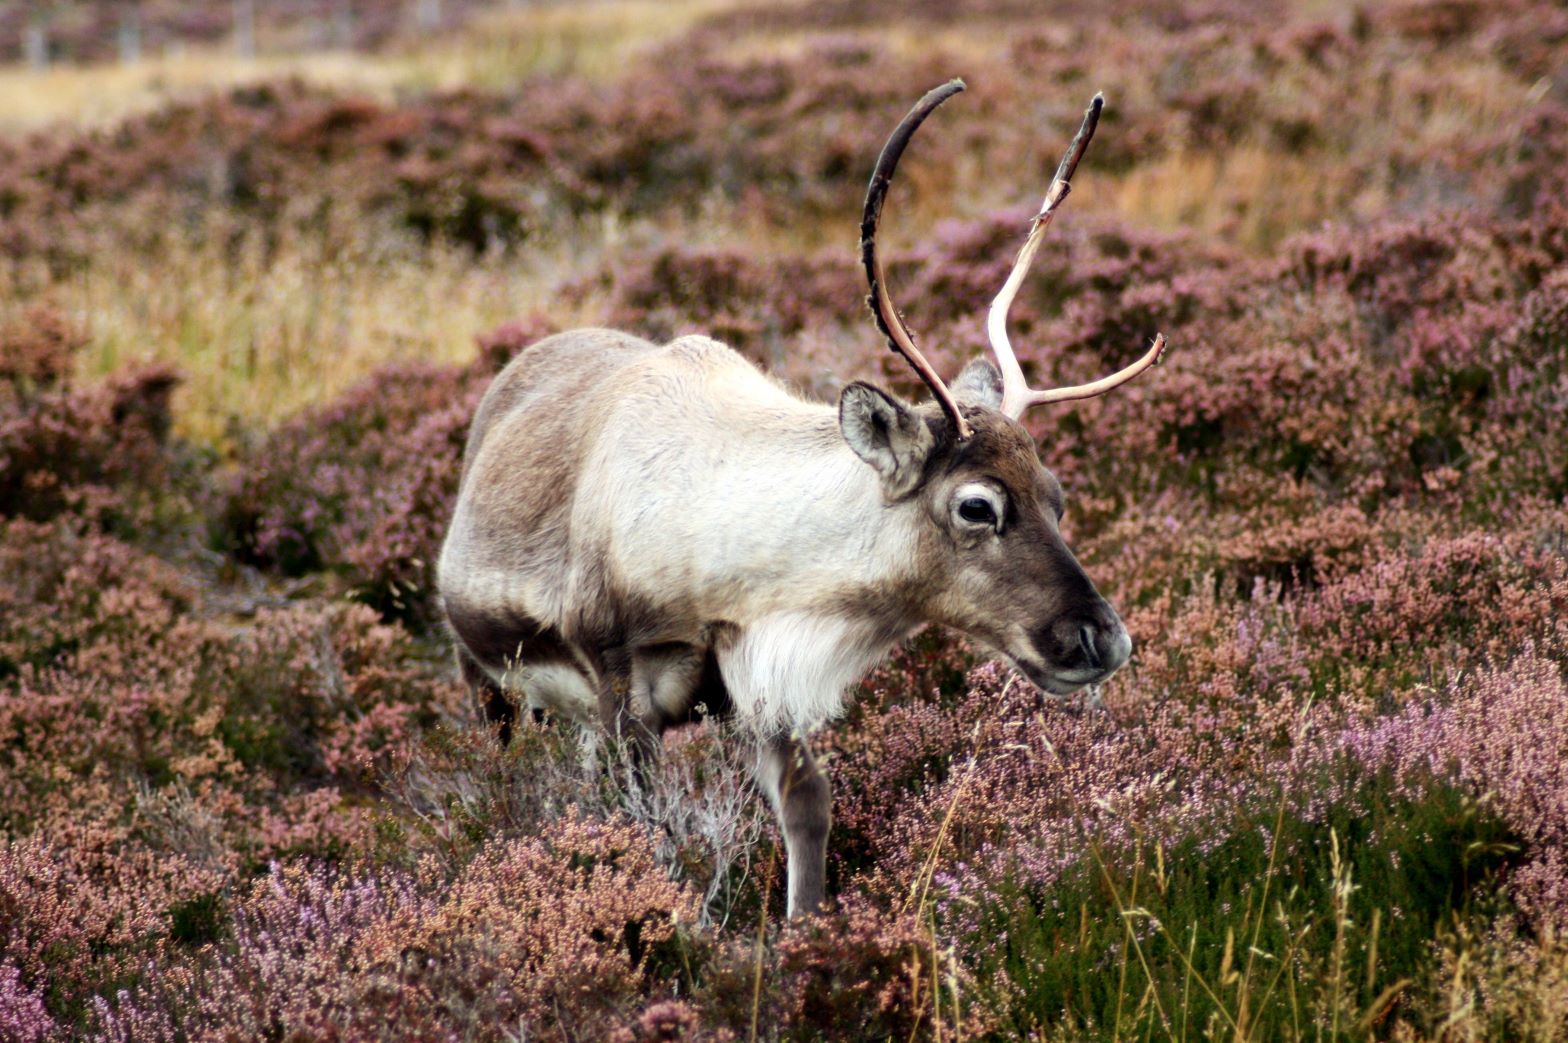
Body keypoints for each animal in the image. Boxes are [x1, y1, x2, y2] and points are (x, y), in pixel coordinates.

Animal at [437, 81, 1167, 917]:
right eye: (976, 505)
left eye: (1058, 495)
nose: (1101, 638)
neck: (713, 540)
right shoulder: (620, 680)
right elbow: (650, 834)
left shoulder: (756, 677)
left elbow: (807, 803)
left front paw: (806, 929)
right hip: (486, 679)